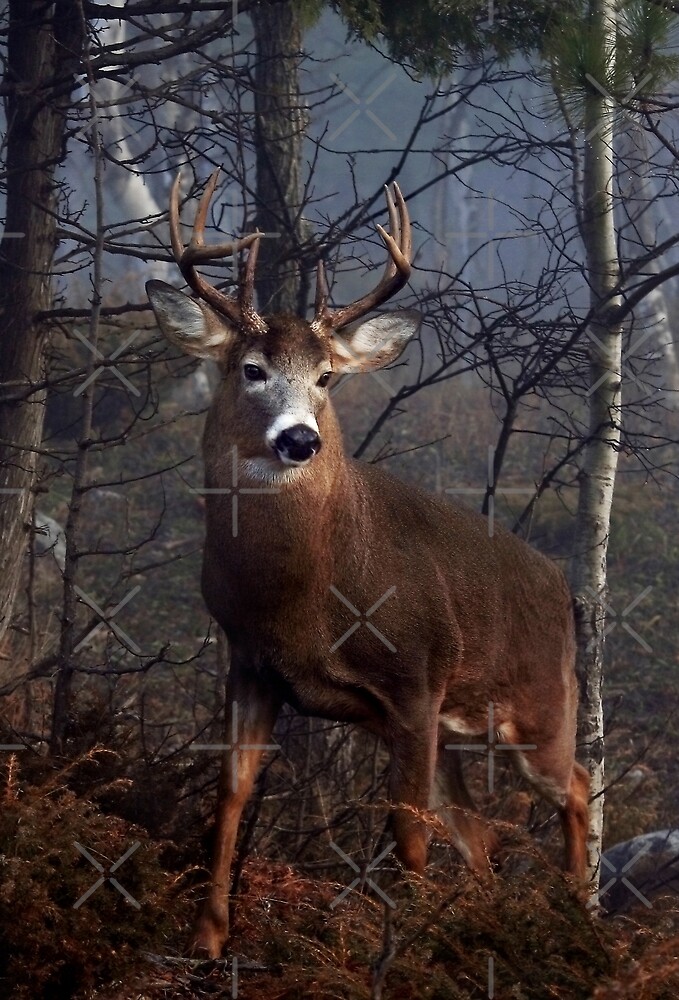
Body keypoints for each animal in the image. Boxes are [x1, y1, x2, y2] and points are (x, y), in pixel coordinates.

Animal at [146, 170, 590, 959]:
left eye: (326, 377)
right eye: (251, 368)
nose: (299, 439)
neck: (304, 599)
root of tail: (560, 586)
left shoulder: (413, 680)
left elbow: (407, 833)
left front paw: (404, 949)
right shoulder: (252, 664)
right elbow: (230, 794)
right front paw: (206, 938)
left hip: (540, 703)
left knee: (576, 784)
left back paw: (581, 919)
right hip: (457, 728)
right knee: (479, 832)